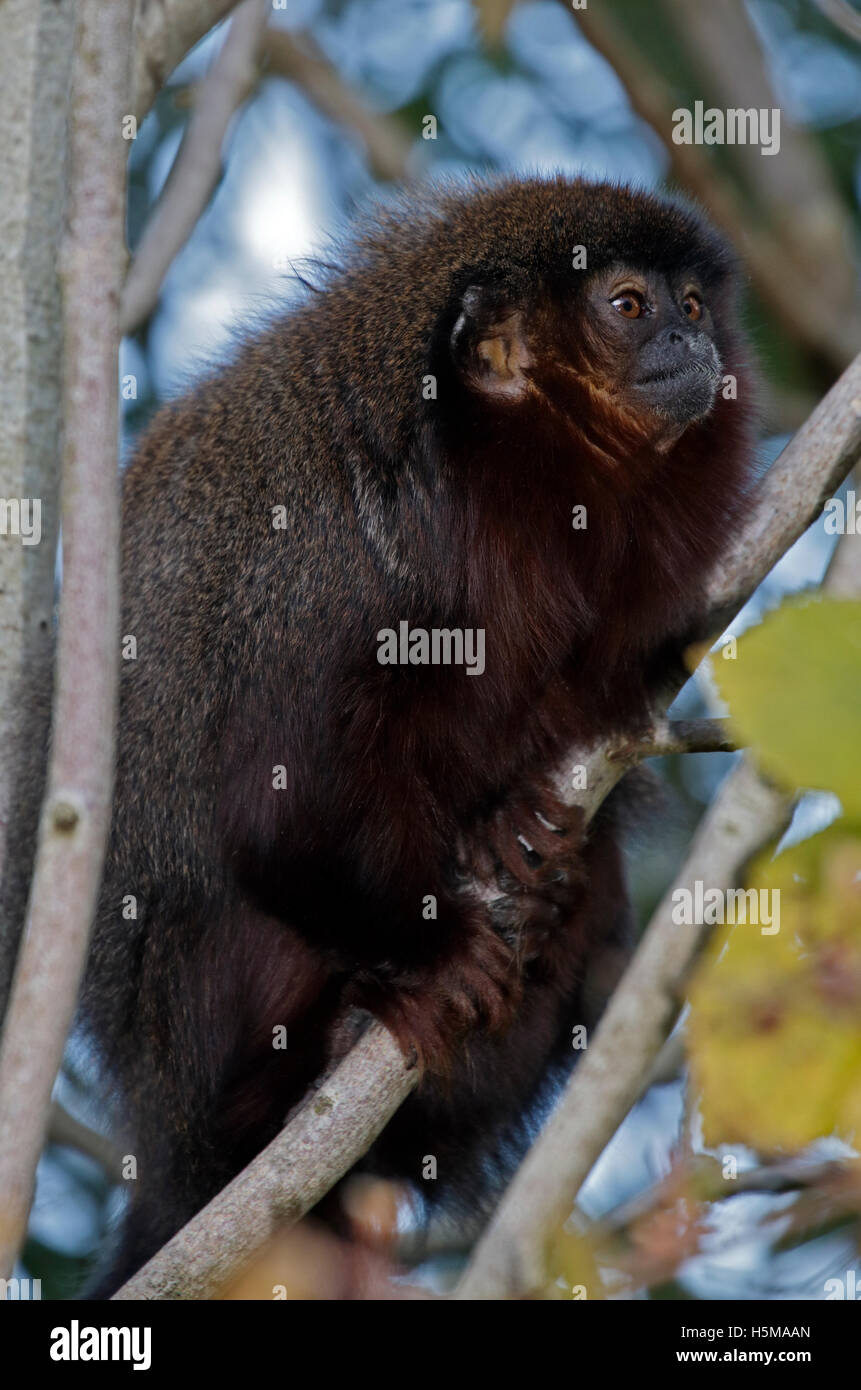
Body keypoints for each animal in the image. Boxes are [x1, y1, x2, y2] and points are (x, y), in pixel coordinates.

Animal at [80, 175, 756, 1294]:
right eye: (629, 306)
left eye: (695, 305)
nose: (693, 343)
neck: (504, 483)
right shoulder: (333, 566)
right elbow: (272, 804)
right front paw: (434, 950)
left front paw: (511, 820)